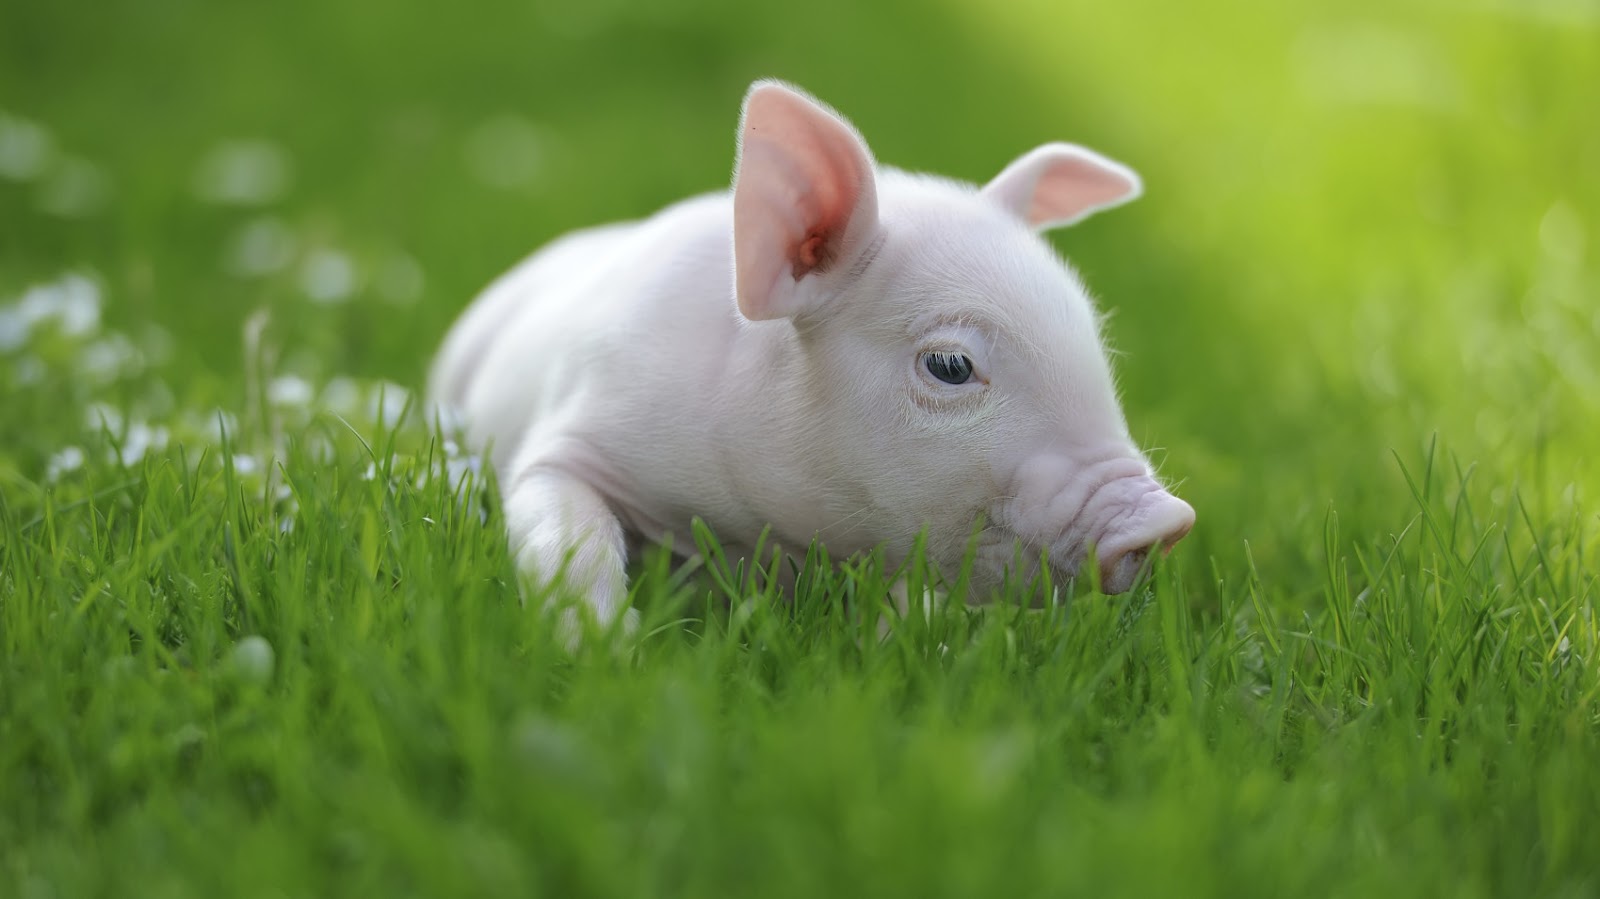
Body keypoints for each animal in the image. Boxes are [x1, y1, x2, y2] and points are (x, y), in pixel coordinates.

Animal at [427, 79, 1195, 635]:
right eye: (949, 365)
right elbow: (567, 538)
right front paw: (608, 651)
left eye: (1092, 339)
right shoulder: (573, 430)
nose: (1168, 521)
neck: (754, 530)